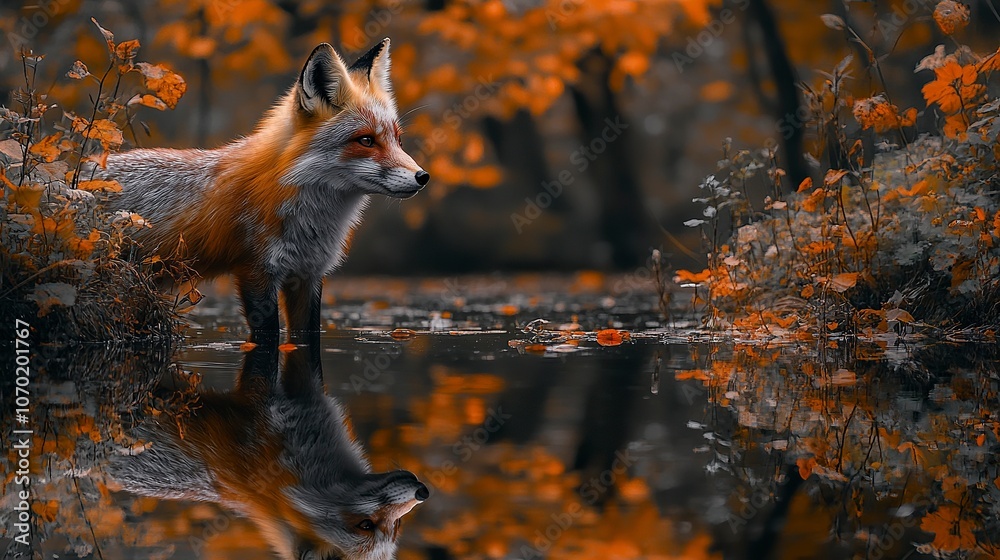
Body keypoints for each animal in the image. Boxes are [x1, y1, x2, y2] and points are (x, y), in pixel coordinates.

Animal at [102, 39, 428, 339]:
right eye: (366, 141)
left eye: (398, 140)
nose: (422, 176)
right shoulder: (256, 271)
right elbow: (268, 336)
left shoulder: (308, 275)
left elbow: (306, 335)